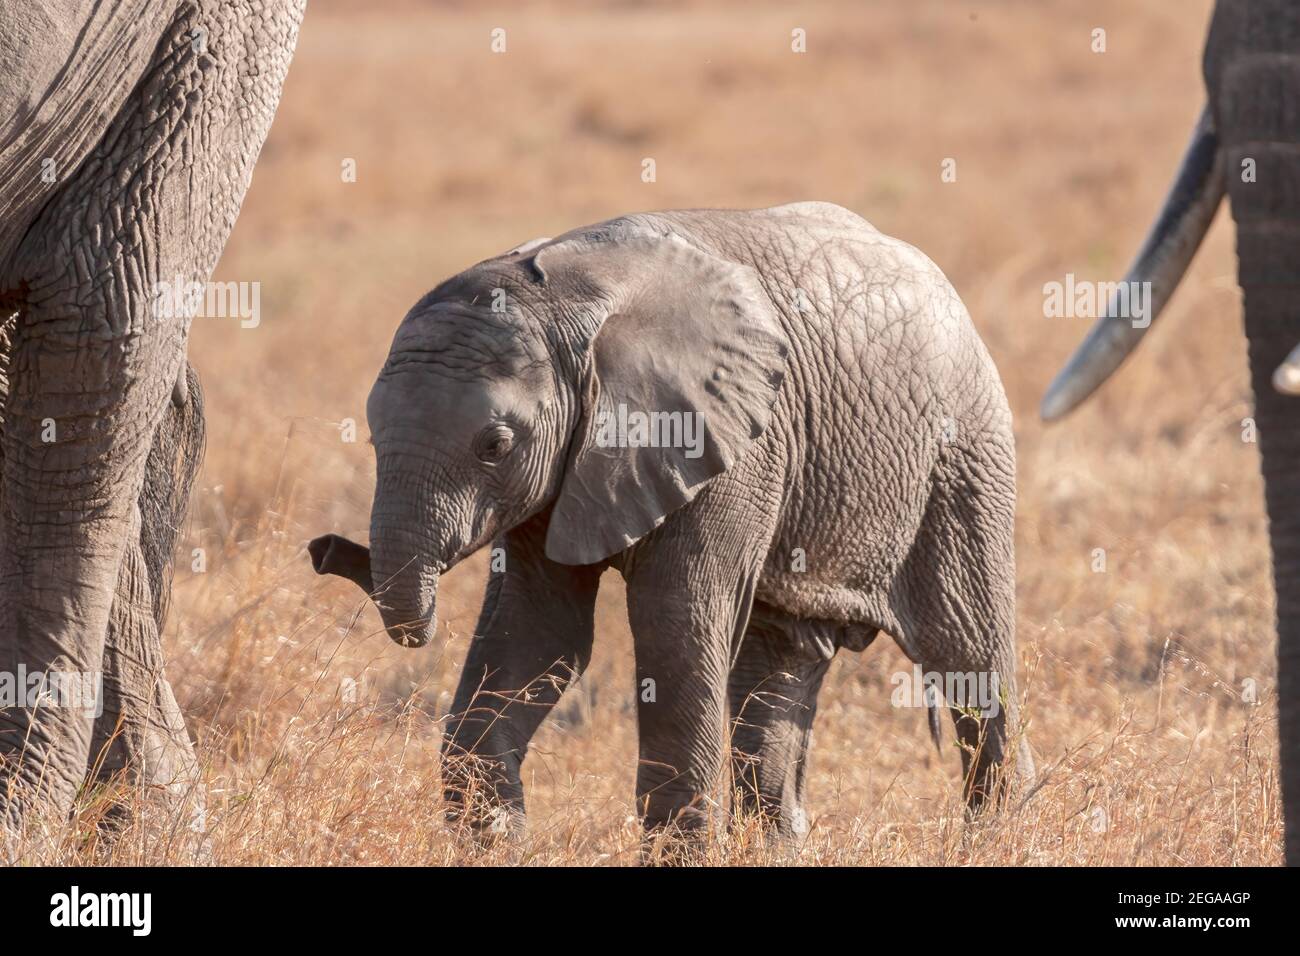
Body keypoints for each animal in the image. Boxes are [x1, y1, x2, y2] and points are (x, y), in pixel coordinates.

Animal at [311, 202, 1032, 841]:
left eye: (494, 445)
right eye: (371, 438)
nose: (323, 549)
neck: (562, 302)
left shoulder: (729, 441)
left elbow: (675, 632)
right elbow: (538, 632)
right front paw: (493, 833)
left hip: (964, 459)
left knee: (969, 660)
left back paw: (999, 839)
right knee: (781, 677)